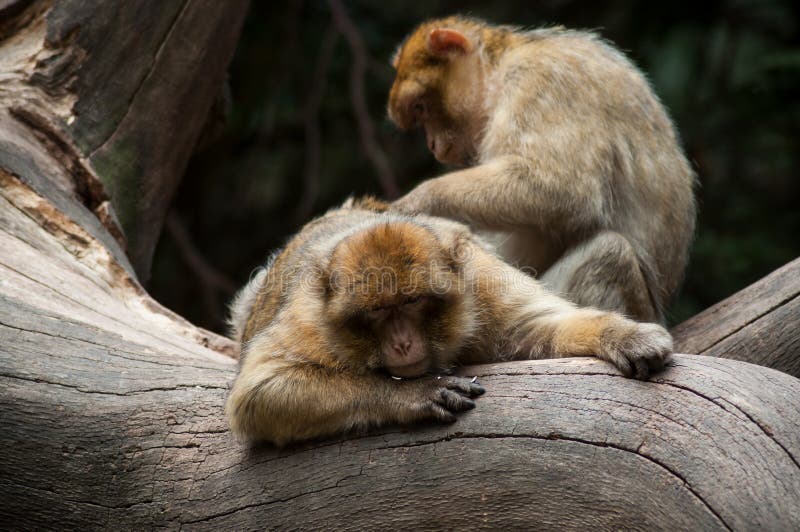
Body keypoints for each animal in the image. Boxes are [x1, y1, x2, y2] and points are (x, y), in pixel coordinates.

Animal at [225, 199, 672, 446]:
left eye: (413, 302)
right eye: (376, 312)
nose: (402, 343)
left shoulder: (480, 282)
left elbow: (534, 328)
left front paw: (621, 334)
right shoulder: (312, 318)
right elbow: (259, 393)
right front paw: (411, 395)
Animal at [387, 16, 696, 324]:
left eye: (421, 107)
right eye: (417, 114)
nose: (432, 145)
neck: (504, 61)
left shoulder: (540, 80)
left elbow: (563, 189)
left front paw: (415, 203)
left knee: (610, 253)